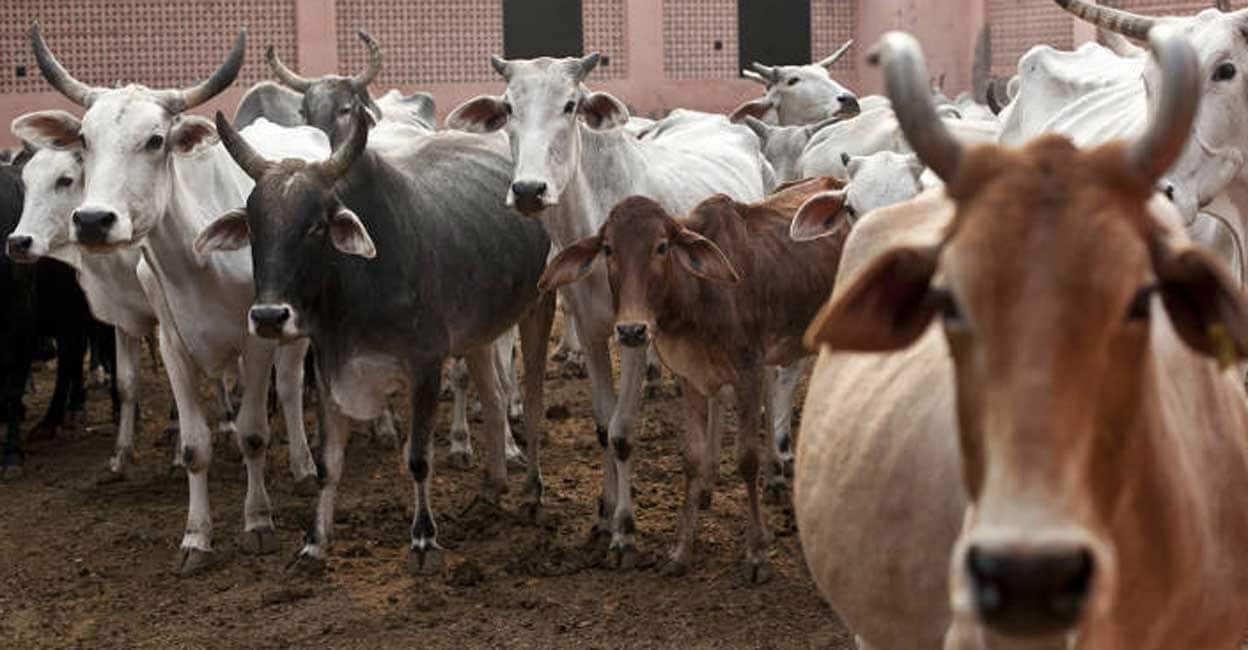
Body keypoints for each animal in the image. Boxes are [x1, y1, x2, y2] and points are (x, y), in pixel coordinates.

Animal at [14, 23, 328, 573]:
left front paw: (258, 521)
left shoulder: (256, 340)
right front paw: (196, 537)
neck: (194, 257)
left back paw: (304, 465)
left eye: (155, 140)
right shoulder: (171, 344)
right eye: (85, 141)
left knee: (290, 388)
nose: (92, 220)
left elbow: (253, 432)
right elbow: (193, 442)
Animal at [197, 106, 554, 575]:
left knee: (530, 404)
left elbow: (418, 458)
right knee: (494, 403)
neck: (359, 286)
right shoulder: (329, 369)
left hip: (538, 309)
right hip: (478, 333)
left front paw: (424, 540)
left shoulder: (426, 367)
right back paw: (491, 489)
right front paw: (313, 544)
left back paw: (531, 493)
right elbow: (329, 463)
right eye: (254, 227)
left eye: (316, 227)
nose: (269, 316)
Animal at [447, 53, 785, 563]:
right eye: (507, 107)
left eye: (570, 105)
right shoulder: (591, 332)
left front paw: (625, 530)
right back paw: (706, 483)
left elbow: (625, 431)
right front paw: (604, 517)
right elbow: (605, 427)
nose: (528, 190)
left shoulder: (636, 336)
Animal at [539, 174, 847, 581]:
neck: (698, 295)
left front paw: (756, 554)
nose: (632, 330)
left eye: (662, 246)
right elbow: (692, 457)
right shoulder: (692, 377)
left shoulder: (747, 371)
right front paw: (680, 551)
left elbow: (746, 458)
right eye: (608, 248)